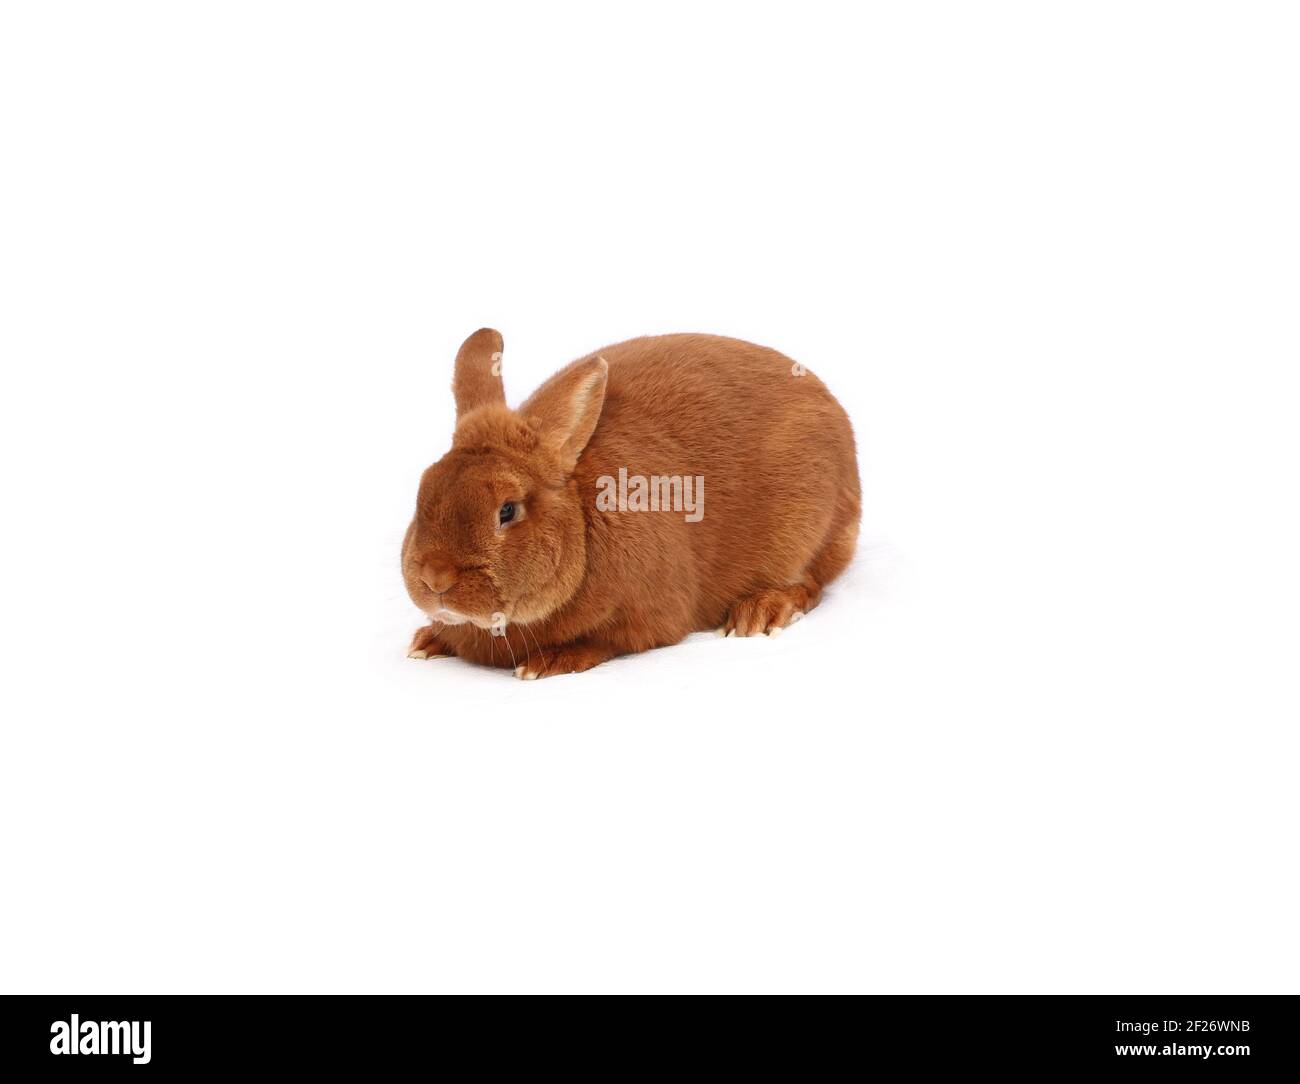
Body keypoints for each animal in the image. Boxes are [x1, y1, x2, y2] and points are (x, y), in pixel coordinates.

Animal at [402, 328, 860, 678]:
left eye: (507, 510)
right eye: (423, 490)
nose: (435, 578)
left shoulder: (652, 615)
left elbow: (608, 640)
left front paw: (549, 661)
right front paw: (426, 641)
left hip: (808, 532)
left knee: (811, 585)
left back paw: (759, 613)